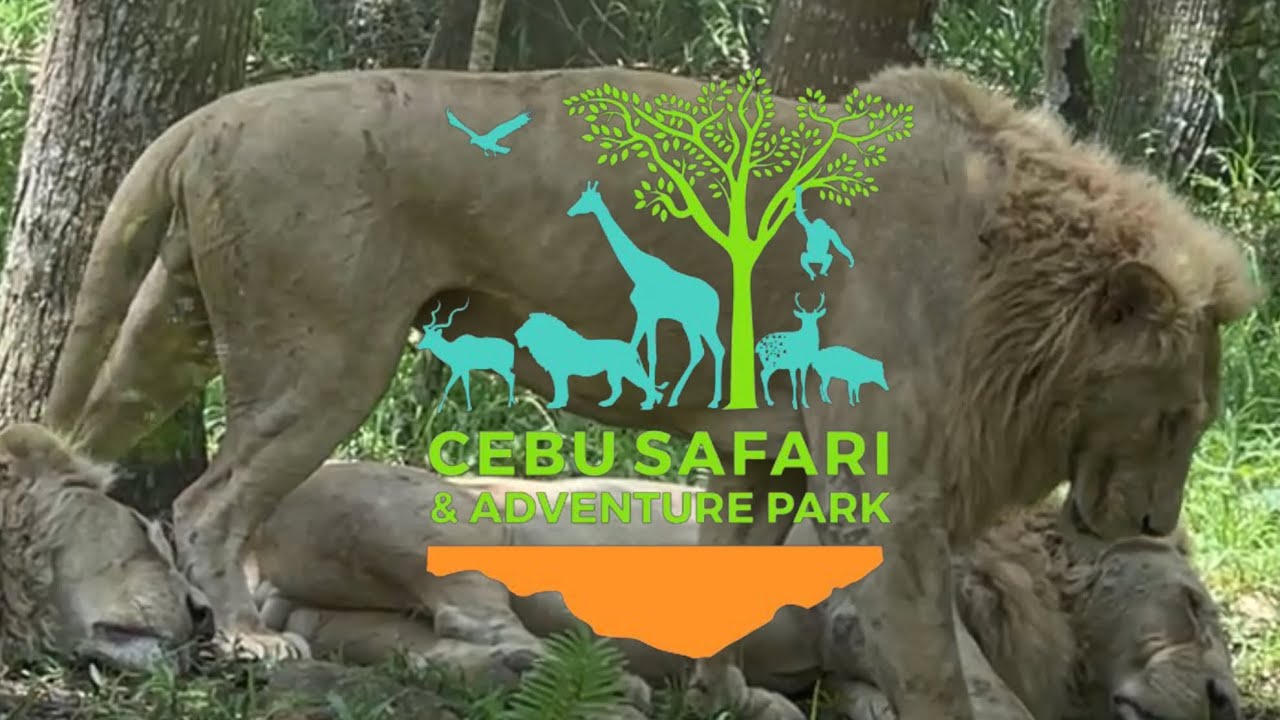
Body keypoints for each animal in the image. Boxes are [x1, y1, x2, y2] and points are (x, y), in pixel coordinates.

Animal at [245, 462, 1239, 720]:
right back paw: (621, 686)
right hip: (442, 515)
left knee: (426, 648)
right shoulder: (871, 605)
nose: (1229, 700)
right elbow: (987, 697)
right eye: (1195, 608)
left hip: (349, 609)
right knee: (478, 617)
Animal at [513, 312, 668, 410]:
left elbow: (561, 390)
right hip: (614, 374)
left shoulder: (560, 374)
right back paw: (607, 403)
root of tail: (631, 348)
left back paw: (648, 404)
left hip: (630, 371)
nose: (516, 334)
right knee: (619, 390)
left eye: (527, 326)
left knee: (647, 385)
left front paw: (557, 404)